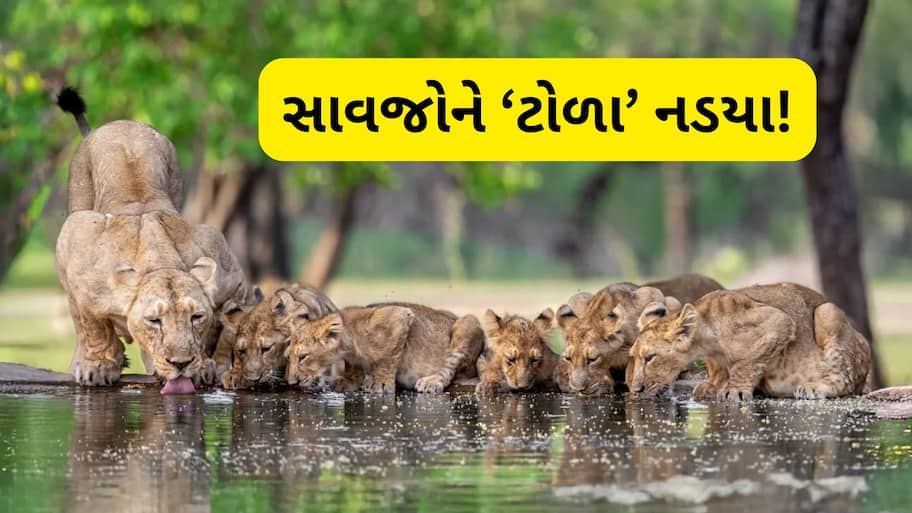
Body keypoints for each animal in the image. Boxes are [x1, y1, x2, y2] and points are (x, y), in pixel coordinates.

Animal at [282, 303, 484, 393]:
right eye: (288, 357)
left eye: (303, 357)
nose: (291, 383)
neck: (349, 346)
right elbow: (353, 369)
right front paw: (347, 381)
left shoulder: (399, 316)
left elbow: (388, 357)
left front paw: (380, 383)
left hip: (468, 323)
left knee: (450, 368)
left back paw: (432, 382)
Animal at [554, 274, 723, 395]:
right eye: (568, 358)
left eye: (592, 359)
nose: (579, 389)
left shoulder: (652, 298)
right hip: (578, 297)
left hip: (672, 301)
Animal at [629, 282, 871, 401]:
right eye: (633, 358)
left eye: (649, 358)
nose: (636, 389)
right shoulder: (713, 358)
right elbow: (718, 368)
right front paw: (713, 385)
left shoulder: (779, 321)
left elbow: (747, 362)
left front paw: (734, 390)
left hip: (827, 314)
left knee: (846, 380)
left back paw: (814, 387)